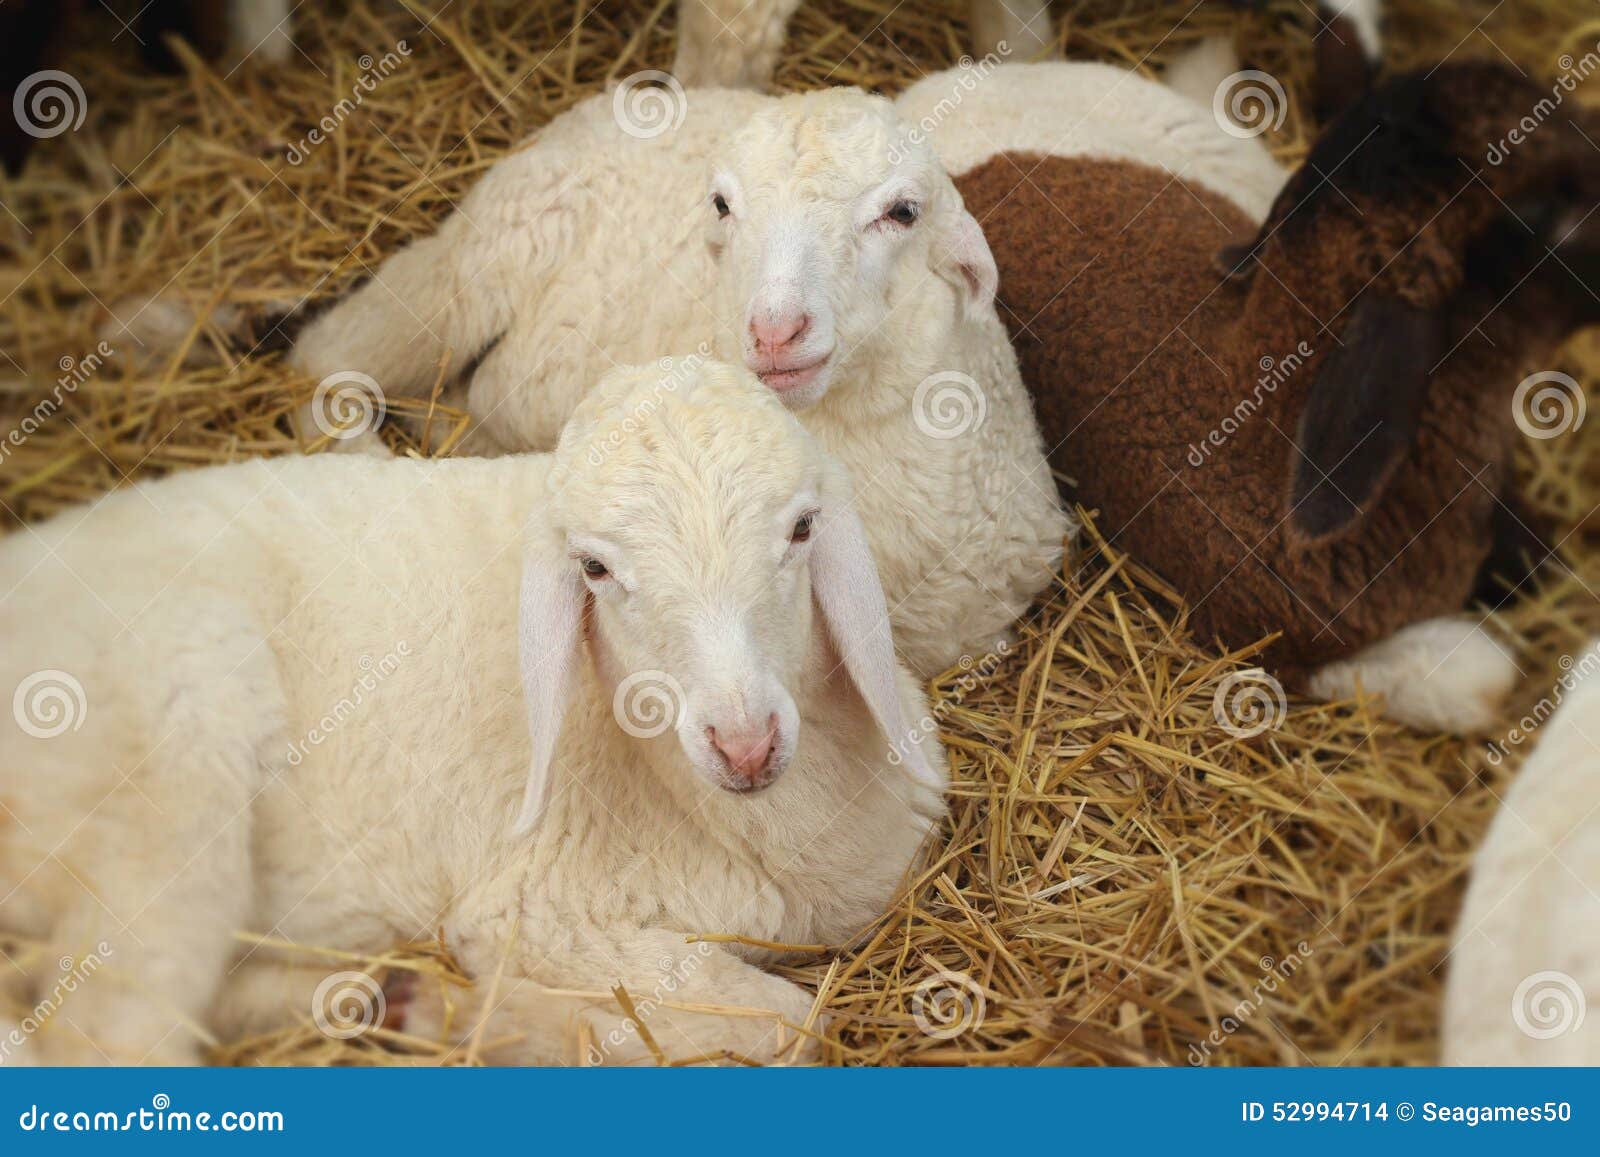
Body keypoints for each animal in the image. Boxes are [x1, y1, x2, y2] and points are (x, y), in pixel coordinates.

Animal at [0, 357, 948, 1066]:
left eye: (802, 528)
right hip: (171, 739)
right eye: (595, 569)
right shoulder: (537, 909)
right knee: (101, 1037)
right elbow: (792, 1019)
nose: (744, 745)